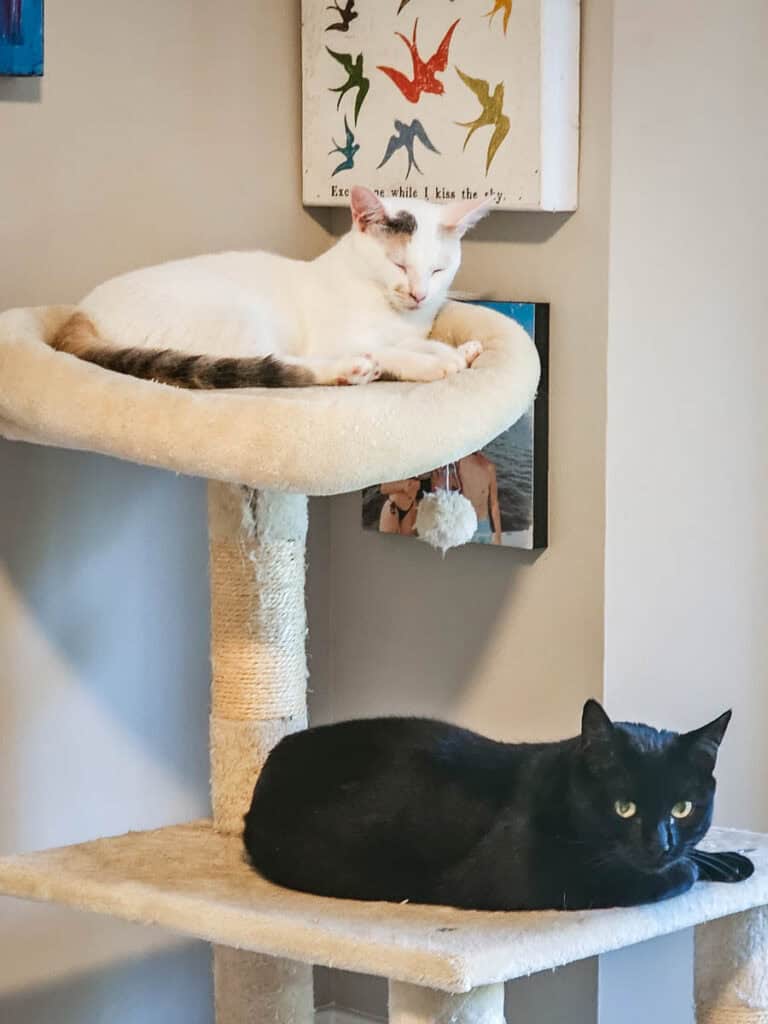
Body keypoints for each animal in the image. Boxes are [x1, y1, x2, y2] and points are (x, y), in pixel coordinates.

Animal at [51, 187, 489, 387]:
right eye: (398, 264)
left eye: (438, 270)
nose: (419, 294)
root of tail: (83, 310)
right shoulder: (339, 338)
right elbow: (392, 351)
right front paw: (435, 363)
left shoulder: (409, 329)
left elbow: (418, 342)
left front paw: (457, 351)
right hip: (243, 317)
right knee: (279, 366)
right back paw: (351, 370)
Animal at [243, 700, 753, 909]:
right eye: (623, 807)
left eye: (682, 808)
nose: (659, 844)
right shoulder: (533, 881)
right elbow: (661, 878)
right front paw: (688, 870)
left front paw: (731, 861)